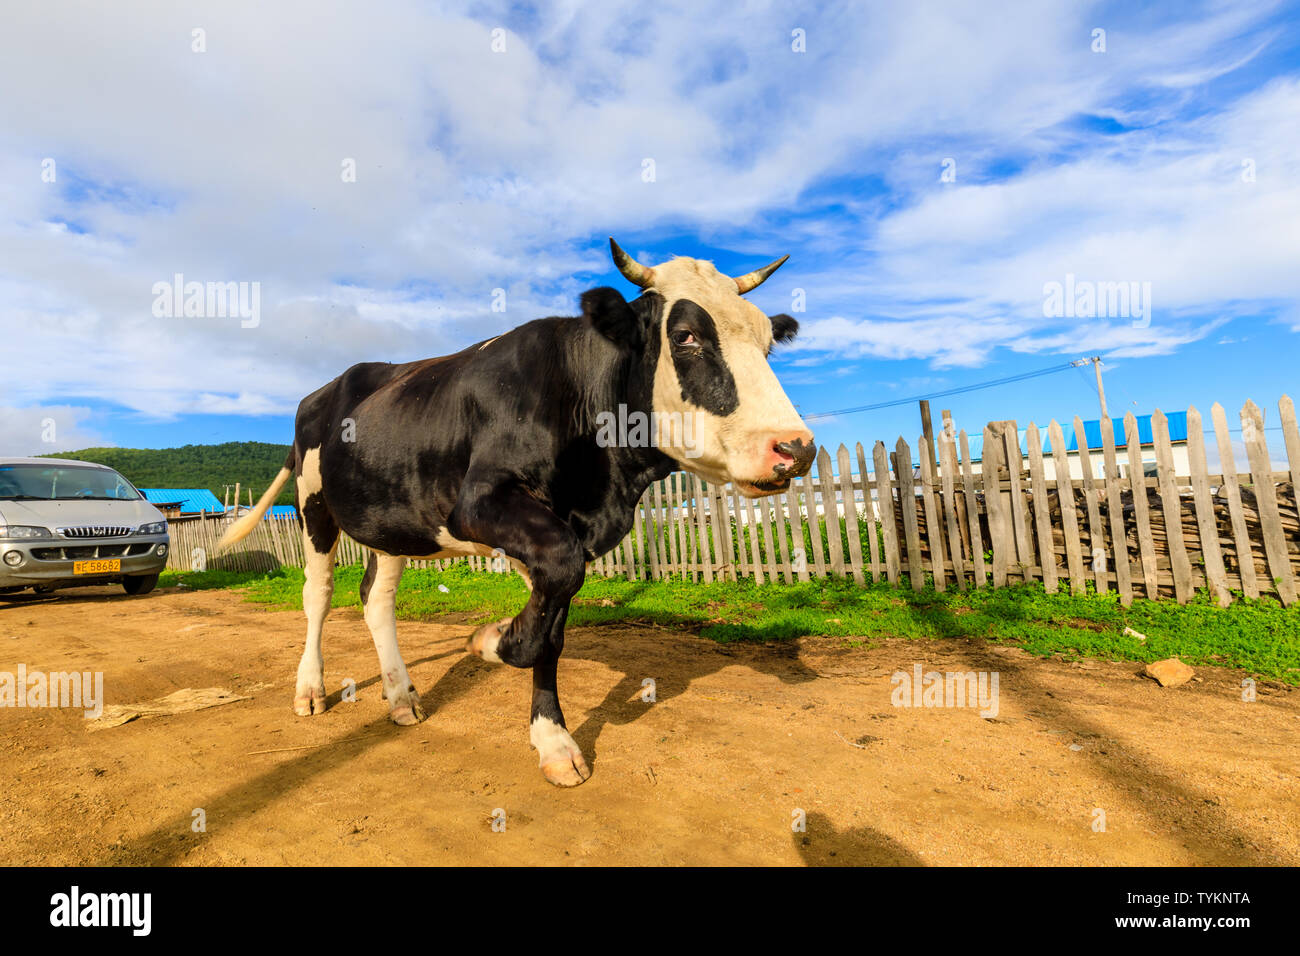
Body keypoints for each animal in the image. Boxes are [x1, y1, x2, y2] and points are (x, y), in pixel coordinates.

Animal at [218, 239, 816, 786]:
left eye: (768, 344)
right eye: (686, 335)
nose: (796, 448)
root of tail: (328, 386)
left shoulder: (569, 530)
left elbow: (552, 627)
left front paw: (553, 740)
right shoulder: (483, 504)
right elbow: (548, 596)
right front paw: (487, 640)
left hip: (393, 519)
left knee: (376, 598)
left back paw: (401, 696)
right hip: (314, 503)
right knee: (318, 595)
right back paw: (311, 689)